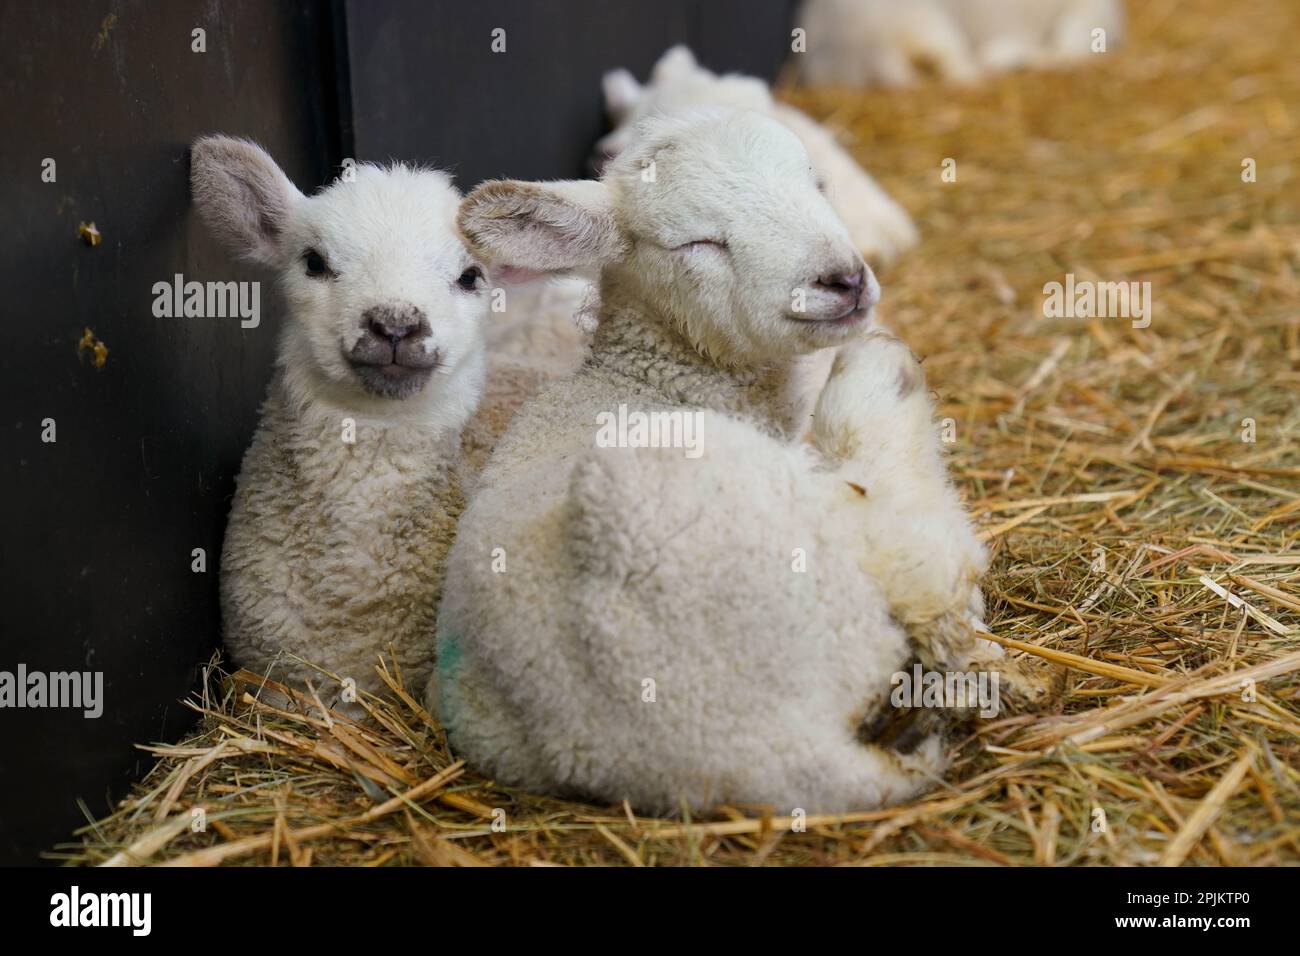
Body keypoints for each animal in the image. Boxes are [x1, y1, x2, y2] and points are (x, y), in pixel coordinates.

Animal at [432, 108, 1040, 815]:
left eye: (818, 183)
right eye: (698, 244)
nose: (843, 280)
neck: (649, 381)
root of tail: (781, 751)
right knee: (926, 567)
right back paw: (883, 375)